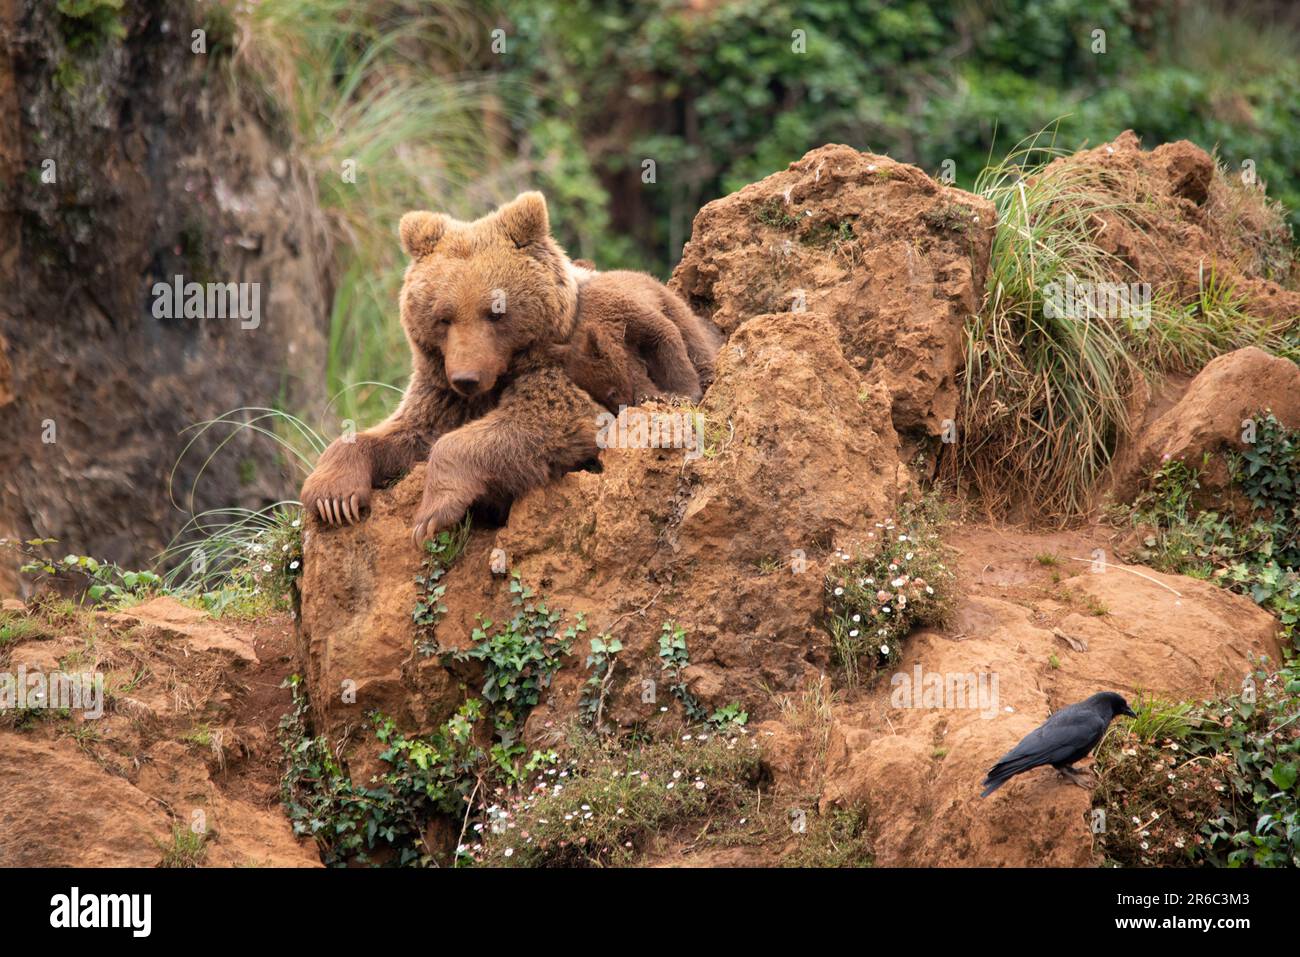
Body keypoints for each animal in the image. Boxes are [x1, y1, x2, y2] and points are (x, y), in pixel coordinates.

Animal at [299, 191, 718, 544]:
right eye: (443, 317)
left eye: (495, 312)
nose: (466, 378)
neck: (500, 377)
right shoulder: (441, 391)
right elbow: (408, 431)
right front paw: (333, 498)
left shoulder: (560, 368)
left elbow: (538, 425)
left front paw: (431, 513)